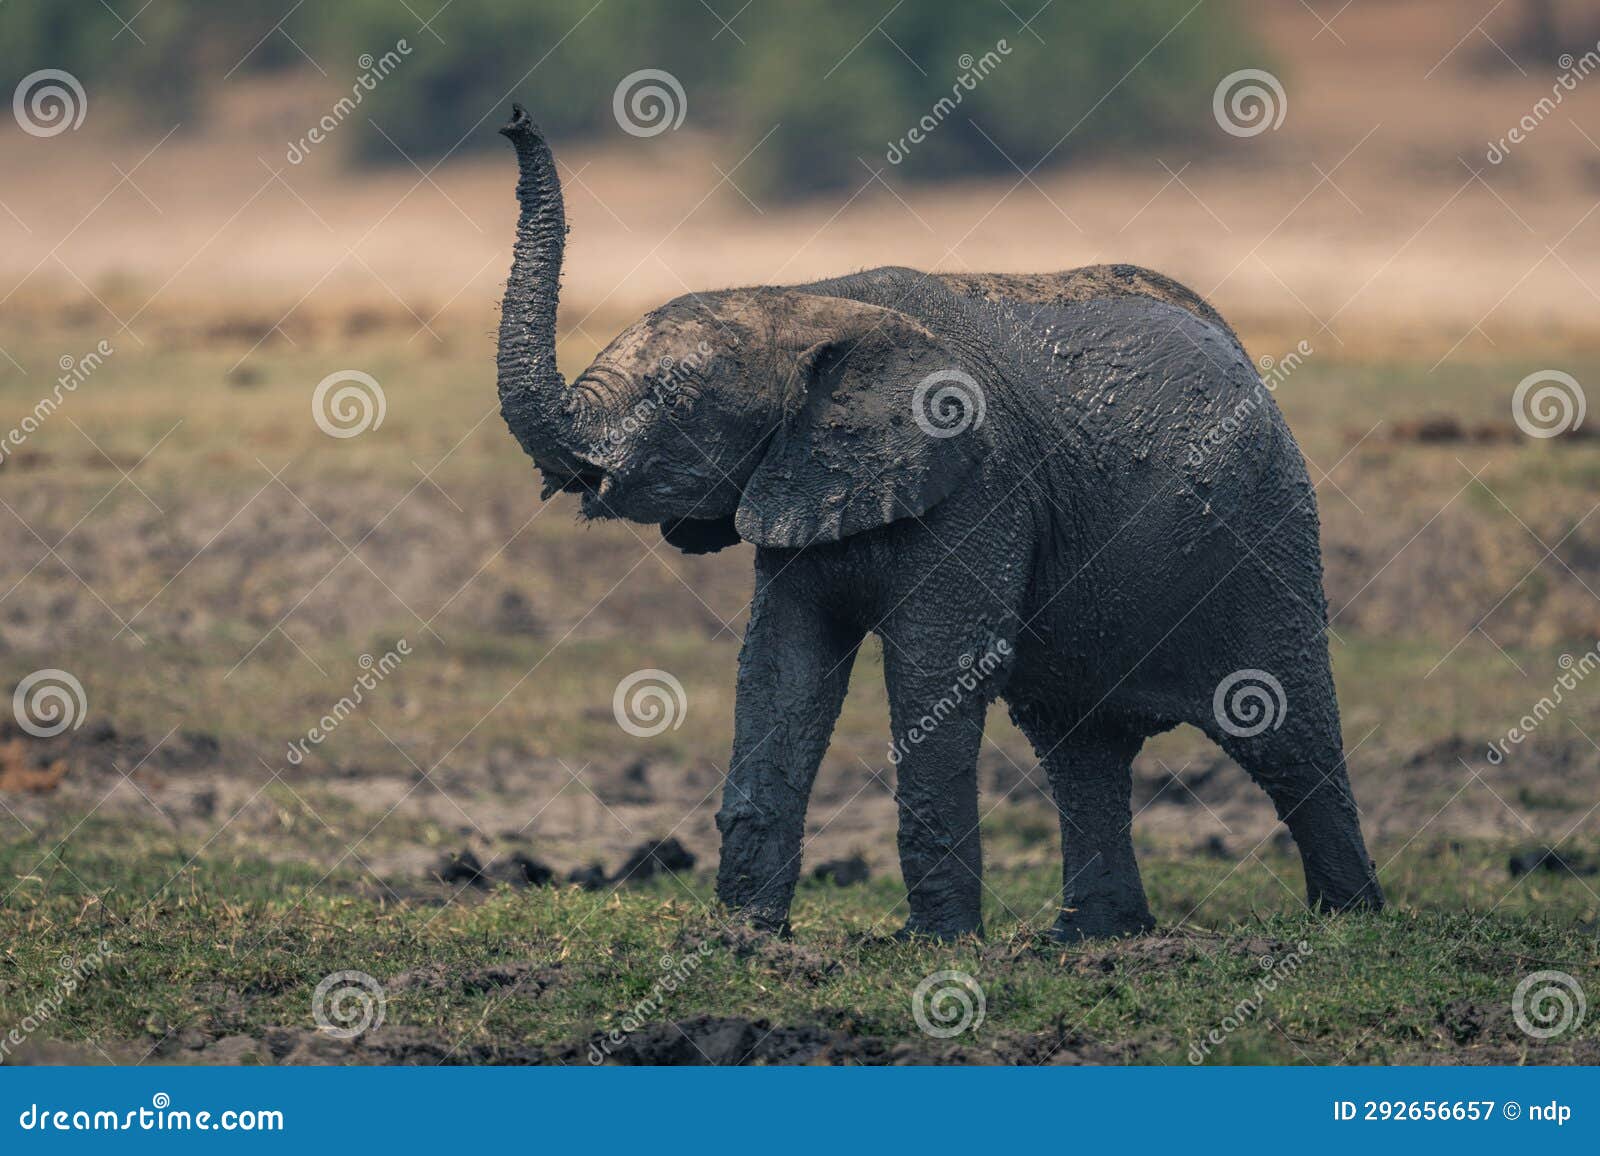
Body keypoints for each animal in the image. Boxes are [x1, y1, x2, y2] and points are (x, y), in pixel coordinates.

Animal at [495, 104, 1383, 940]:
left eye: (675, 398)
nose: (512, 118)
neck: (811, 298)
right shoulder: (799, 486)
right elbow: (782, 670)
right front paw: (743, 937)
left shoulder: (981, 484)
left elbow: (935, 671)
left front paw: (934, 946)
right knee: (1078, 744)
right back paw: (1090, 939)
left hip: (1266, 527)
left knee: (1283, 729)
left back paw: (1349, 921)